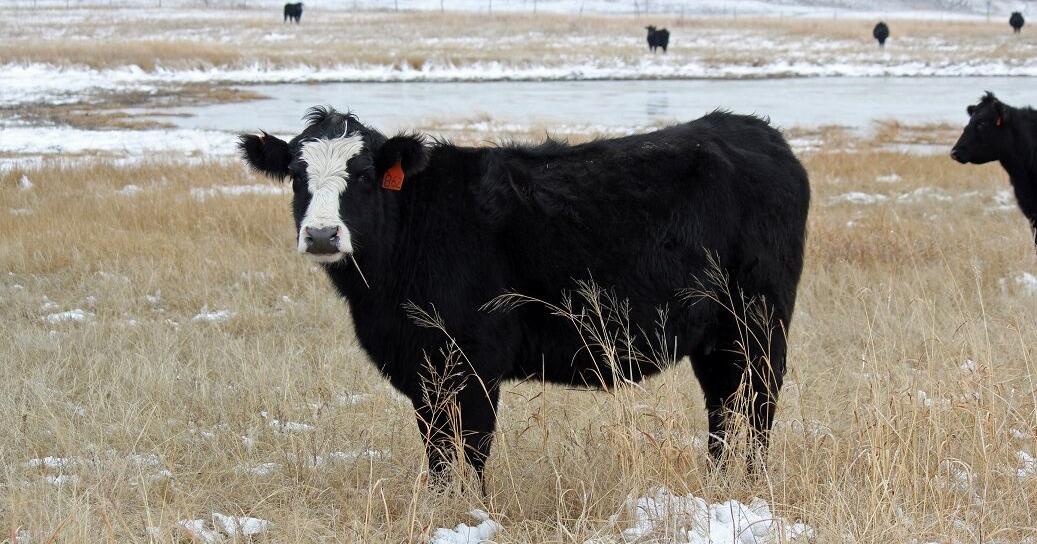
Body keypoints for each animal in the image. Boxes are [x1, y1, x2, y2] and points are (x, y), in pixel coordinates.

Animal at [238, 107, 811, 491]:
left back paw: (753, 482)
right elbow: (437, 445)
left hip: (759, 322)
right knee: (723, 404)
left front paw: (473, 508)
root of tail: (751, 128)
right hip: (714, 335)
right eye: (296, 175)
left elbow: (472, 443)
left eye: (361, 175)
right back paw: (718, 482)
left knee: (759, 401)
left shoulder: (474, 358)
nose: (321, 235)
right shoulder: (423, 365)